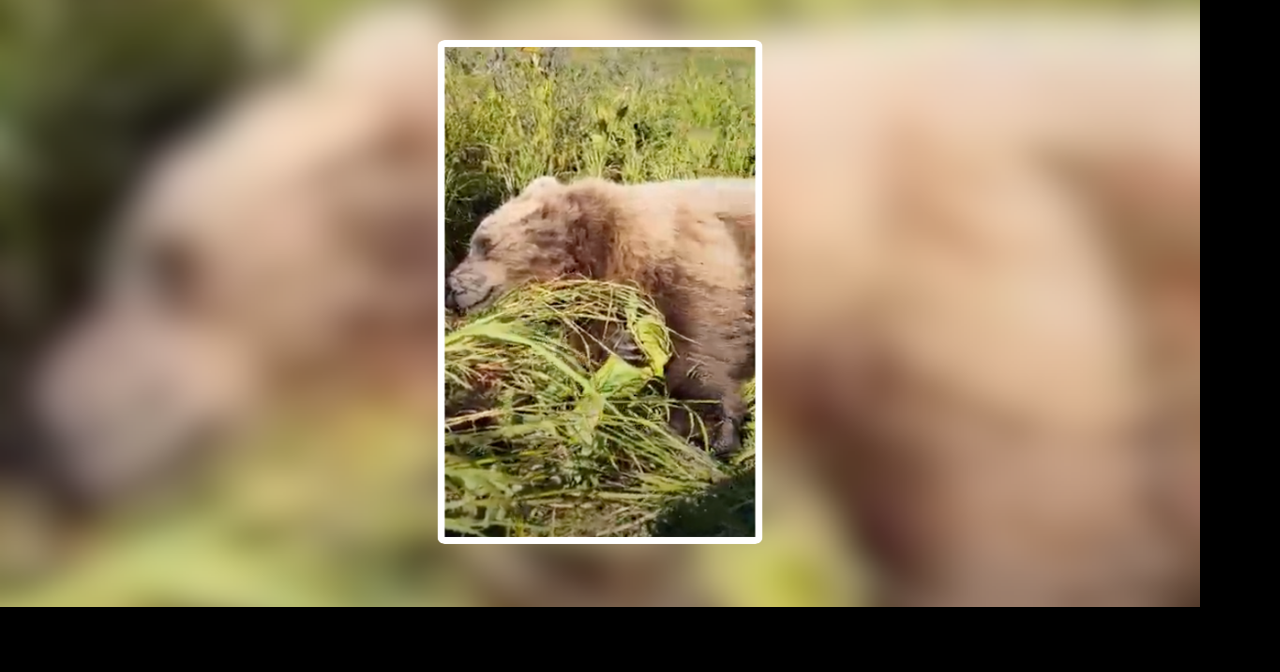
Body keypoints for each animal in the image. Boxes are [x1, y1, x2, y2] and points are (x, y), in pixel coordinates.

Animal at [445, 175, 756, 455]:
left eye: (484, 244)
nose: (451, 287)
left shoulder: (686, 259)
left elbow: (701, 340)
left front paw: (706, 428)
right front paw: (626, 347)